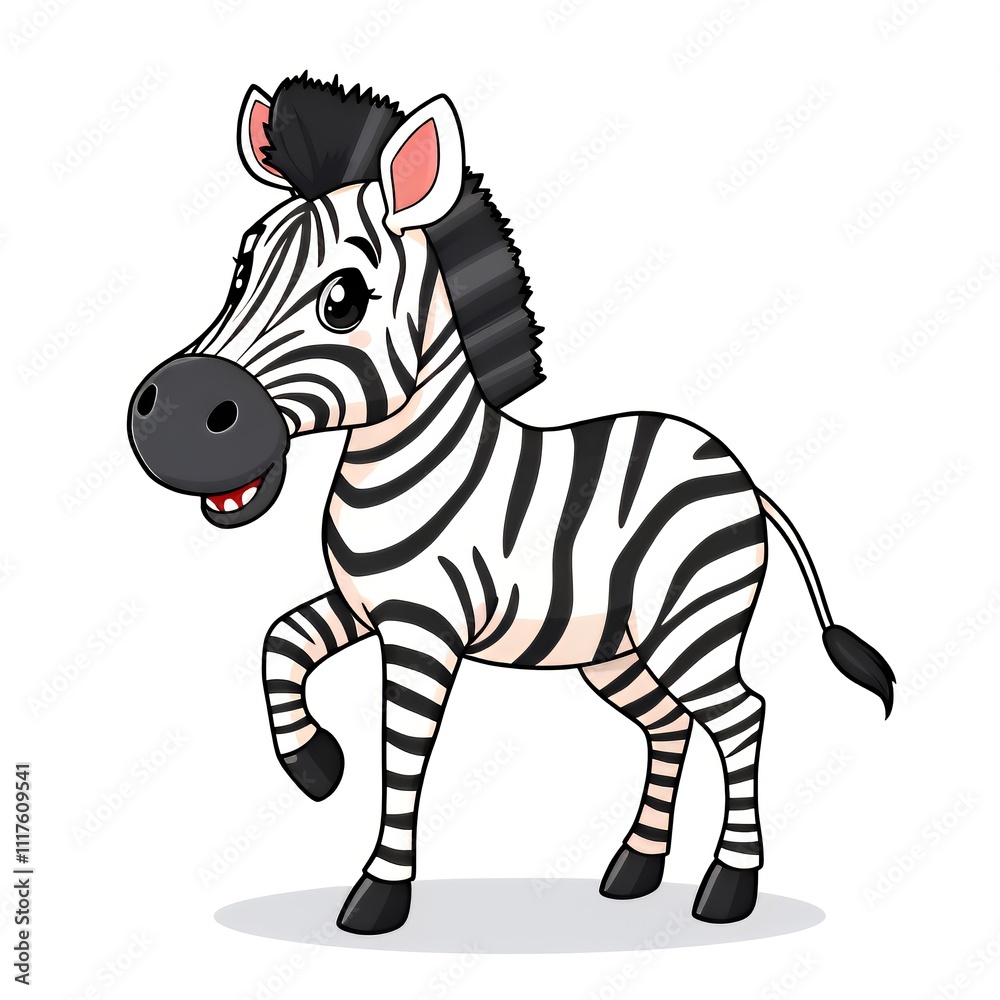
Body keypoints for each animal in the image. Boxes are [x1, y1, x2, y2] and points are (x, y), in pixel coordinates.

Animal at [128, 73, 895, 935]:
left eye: (344, 298)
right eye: (239, 270)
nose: (172, 419)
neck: (400, 469)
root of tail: (735, 467)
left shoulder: (422, 632)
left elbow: (404, 756)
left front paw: (379, 892)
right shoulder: (367, 605)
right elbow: (279, 641)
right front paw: (315, 765)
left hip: (691, 627)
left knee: (742, 717)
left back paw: (728, 888)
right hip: (615, 650)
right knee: (670, 724)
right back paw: (635, 868)